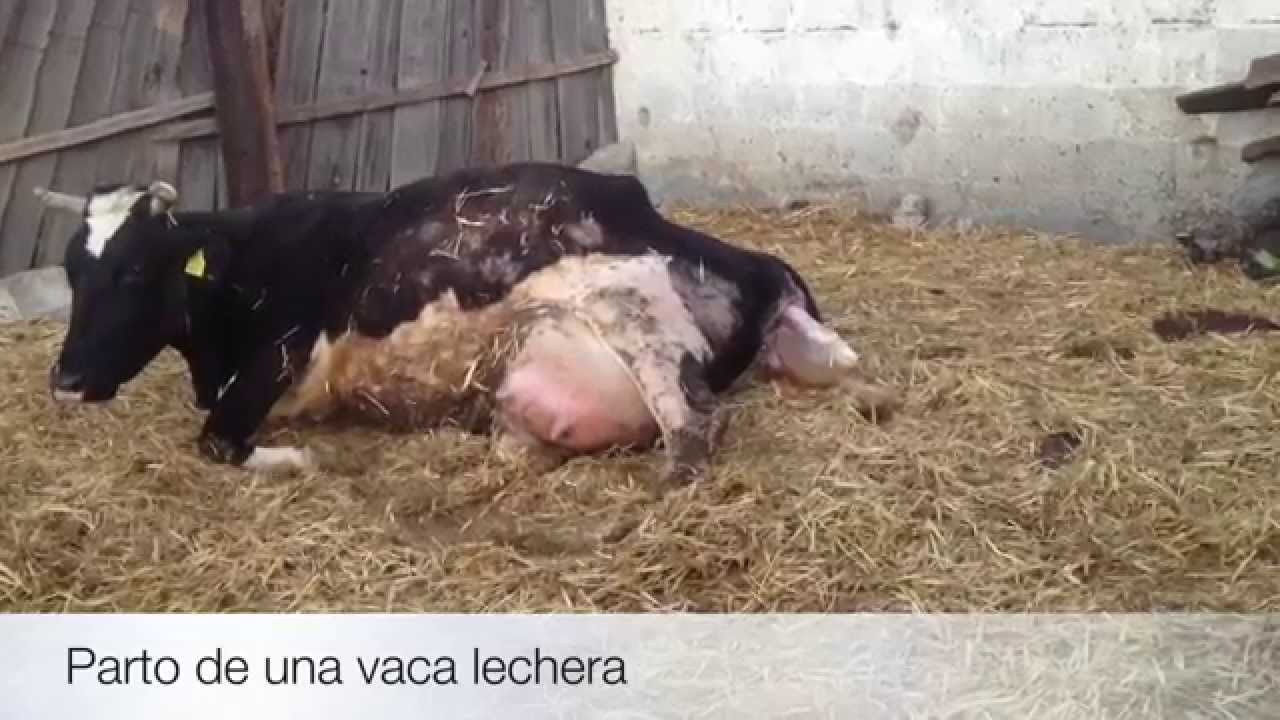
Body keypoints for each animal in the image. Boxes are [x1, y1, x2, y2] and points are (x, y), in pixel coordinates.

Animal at [37, 163, 859, 486]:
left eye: (135, 272)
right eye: (73, 273)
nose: (66, 379)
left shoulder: (277, 359)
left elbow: (214, 442)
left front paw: (296, 459)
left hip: (632, 312)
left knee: (694, 429)